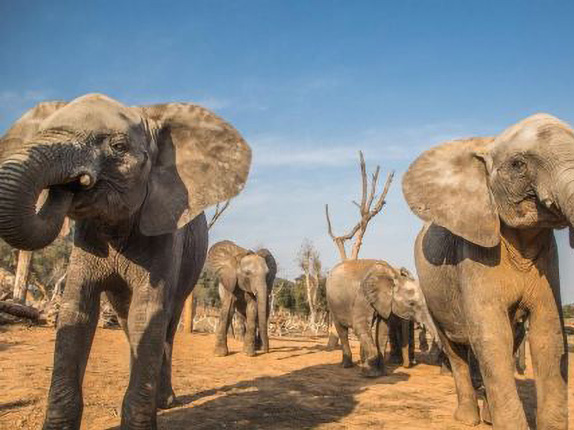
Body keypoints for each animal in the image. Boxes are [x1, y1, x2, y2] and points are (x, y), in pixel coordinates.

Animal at [0, 94, 254, 430]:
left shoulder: (164, 232)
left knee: (166, 325)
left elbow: (147, 314)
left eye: (118, 146)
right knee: (125, 320)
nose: (67, 186)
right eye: (39, 133)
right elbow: (76, 312)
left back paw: (165, 401)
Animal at [402, 112, 572, 428]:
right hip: (432, 297)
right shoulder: (474, 256)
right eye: (518, 164)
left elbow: (549, 335)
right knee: (456, 352)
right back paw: (468, 419)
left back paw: (489, 418)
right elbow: (492, 336)